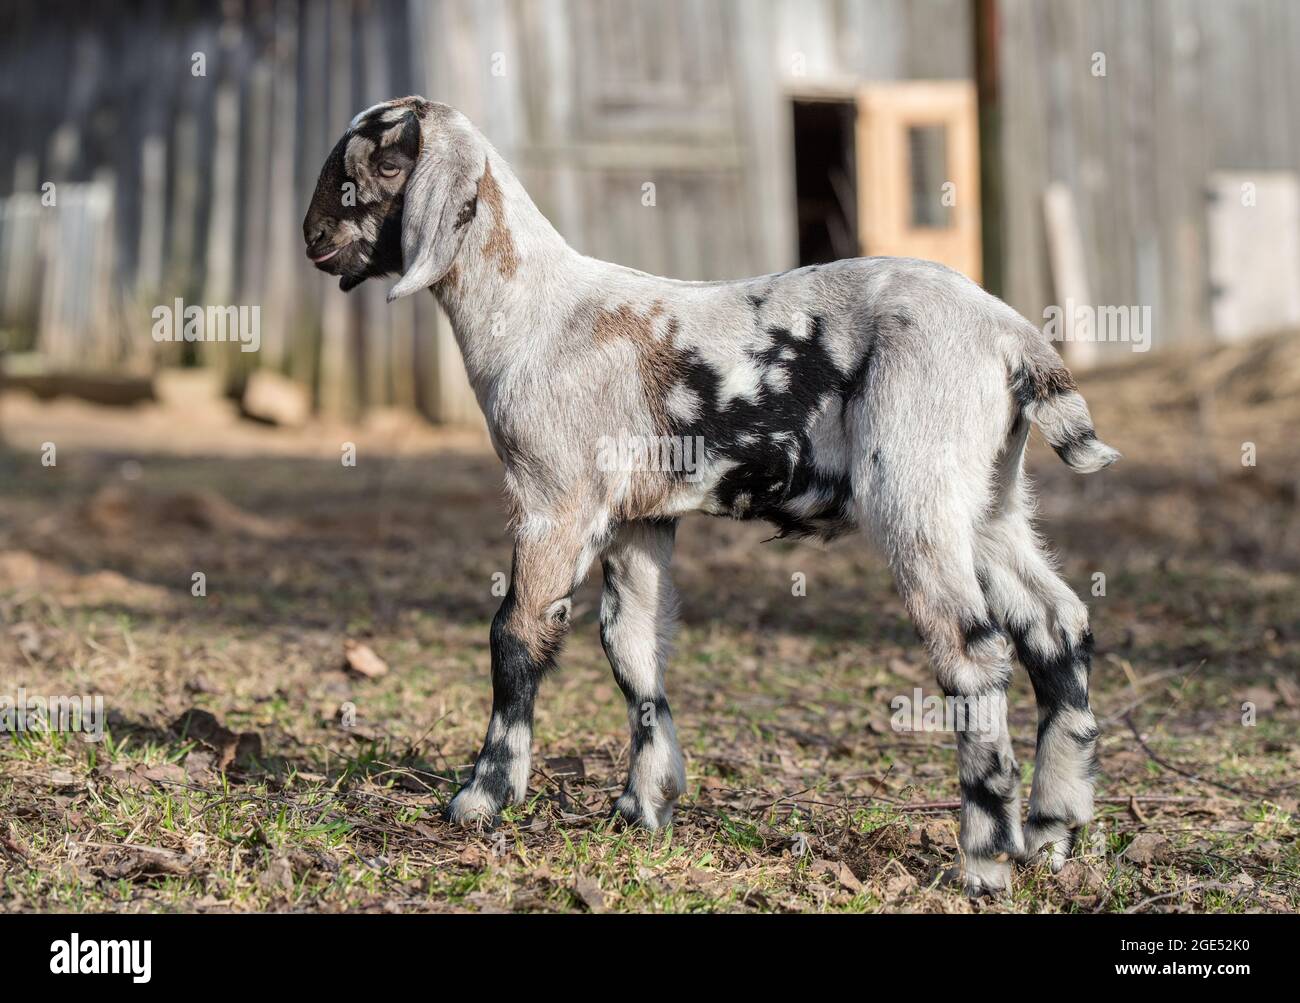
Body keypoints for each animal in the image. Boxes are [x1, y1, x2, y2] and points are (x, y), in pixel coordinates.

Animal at [303, 97, 1119, 896]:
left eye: (384, 163)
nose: (312, 236)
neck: (537, 313)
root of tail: (1011, 334)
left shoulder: (553, 500)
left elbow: (518, 635)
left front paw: (484, 796)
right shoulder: (640, 520)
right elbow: (633, 647)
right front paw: (643, 806)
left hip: (916, 494)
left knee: (974, 651)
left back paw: (984, 862)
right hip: (990, 504)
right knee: (1057, 625)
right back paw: (1052, 832)